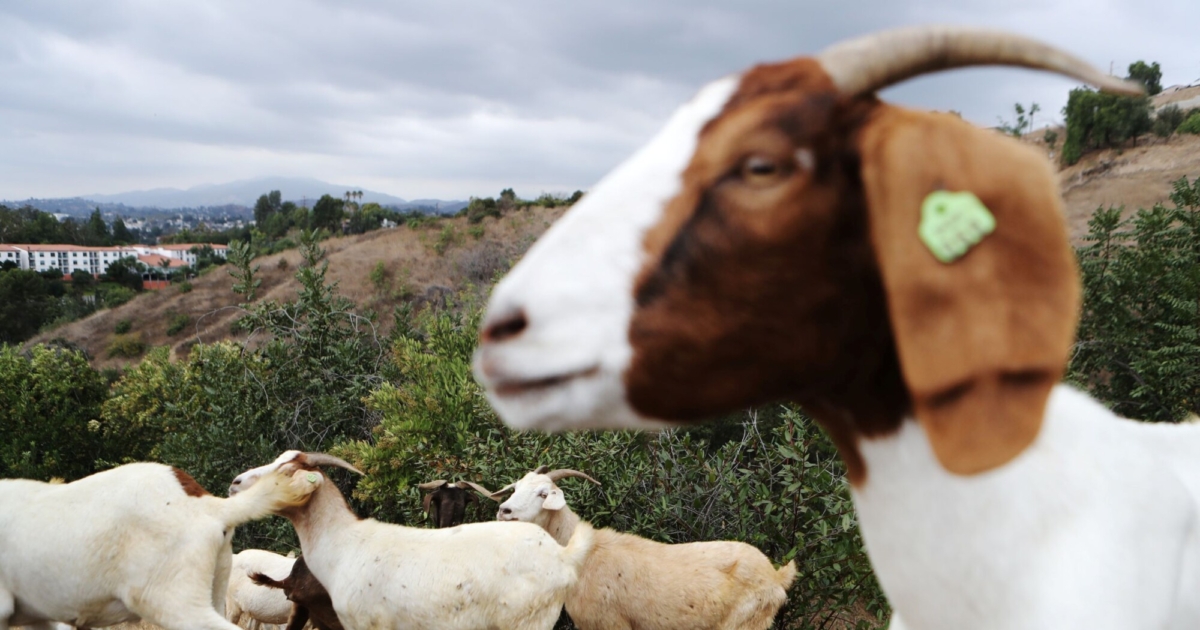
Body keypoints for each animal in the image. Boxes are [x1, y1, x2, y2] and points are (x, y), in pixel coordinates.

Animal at [494, 466, 796, 630]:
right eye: (516, 487)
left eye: (543, 493)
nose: (504, 511)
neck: (585, 555)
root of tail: (776, 575)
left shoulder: (609, 624)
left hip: (746, 621)